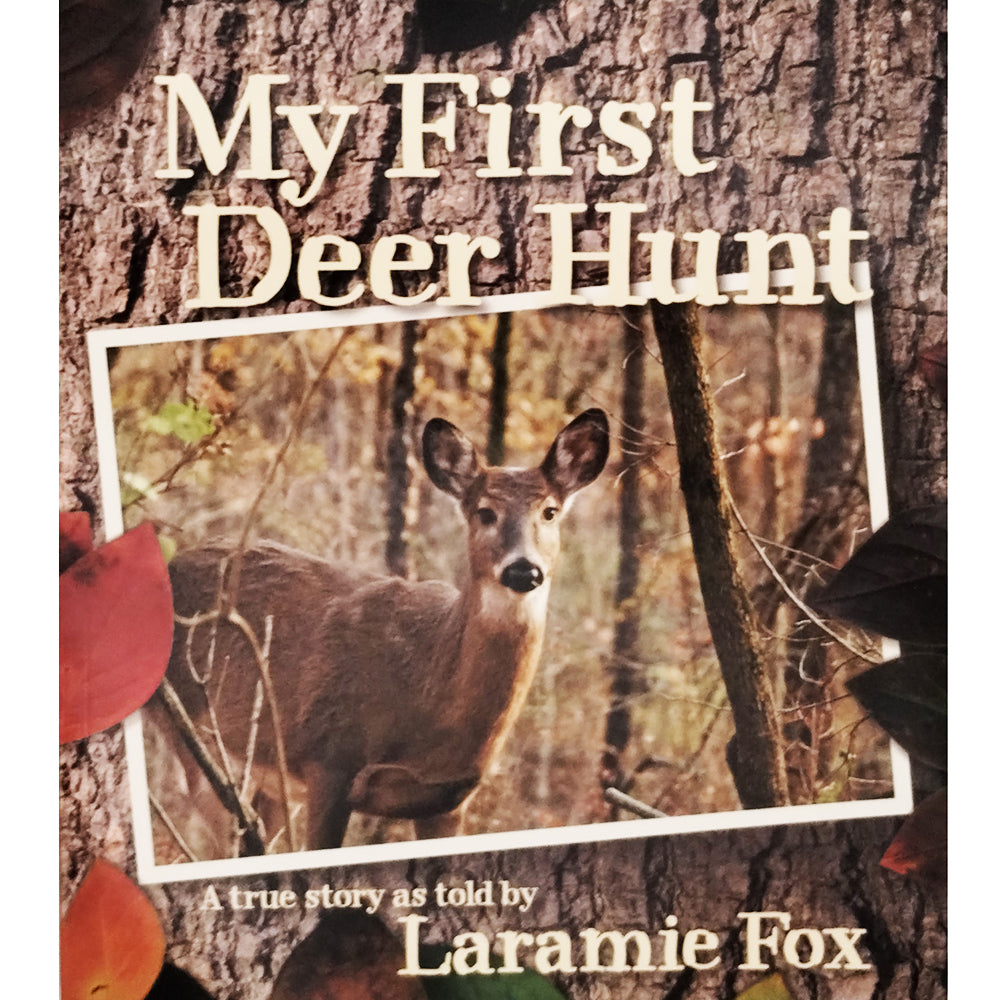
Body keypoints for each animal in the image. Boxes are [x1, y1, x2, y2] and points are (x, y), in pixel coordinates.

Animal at [158, 408, 610, 852]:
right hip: (196, 736)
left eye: (550, 511)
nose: (523, 569)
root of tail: (170, 564)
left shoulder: (447, 799)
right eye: (485, 512)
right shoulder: (329, 760)